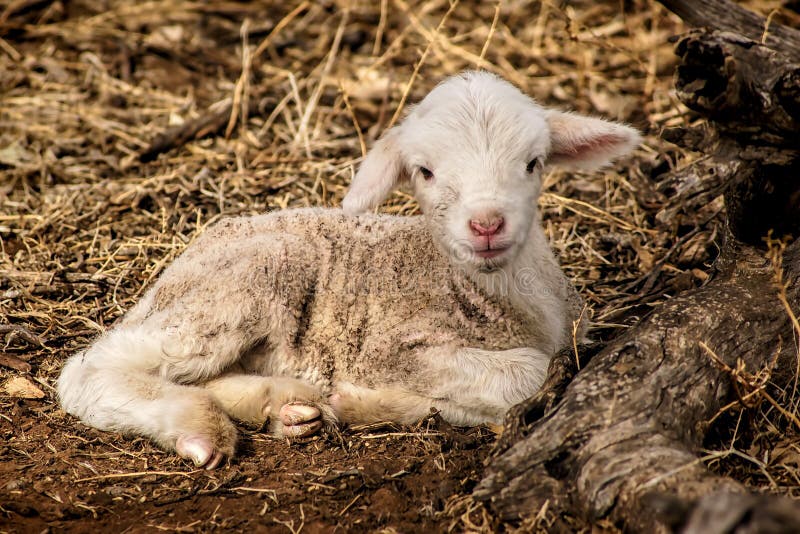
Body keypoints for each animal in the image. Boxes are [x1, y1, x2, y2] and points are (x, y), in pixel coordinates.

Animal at [57, 70, 641, 469]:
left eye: (533, 163)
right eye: (425, 172)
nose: (487, 225)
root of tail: (176, 266)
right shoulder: (394, 348)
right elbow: (532, 372)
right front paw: (372, 401)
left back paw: (285, 406)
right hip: (242, 281)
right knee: (91, 368)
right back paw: (201, 427)